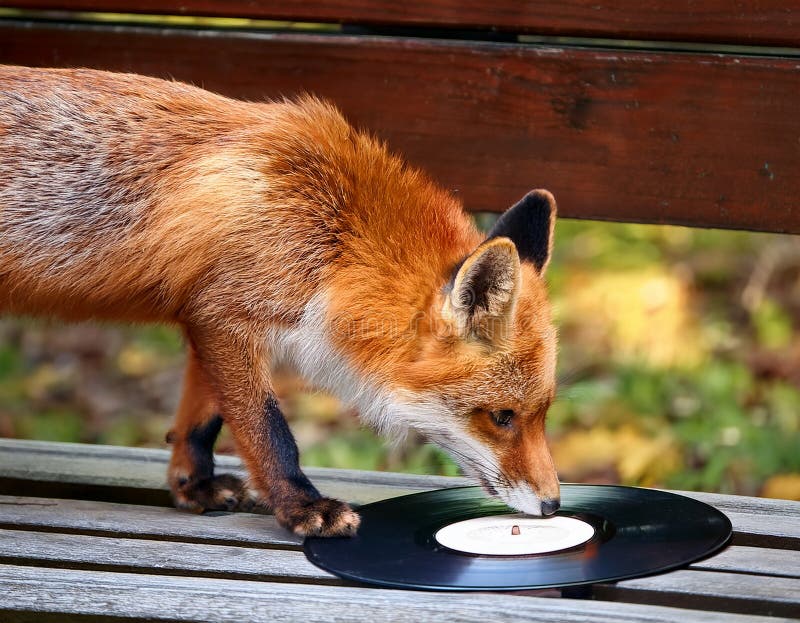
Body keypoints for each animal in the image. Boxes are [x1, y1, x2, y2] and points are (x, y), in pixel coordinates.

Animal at [0, 65, 560, 537]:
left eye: (542, 415)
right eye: (502, 417)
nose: (554, 505)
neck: (336, 237)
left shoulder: (207, 308)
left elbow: (203, 419)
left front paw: (194, 486)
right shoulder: (228, 316)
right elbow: (270, 431)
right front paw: (302, 506)